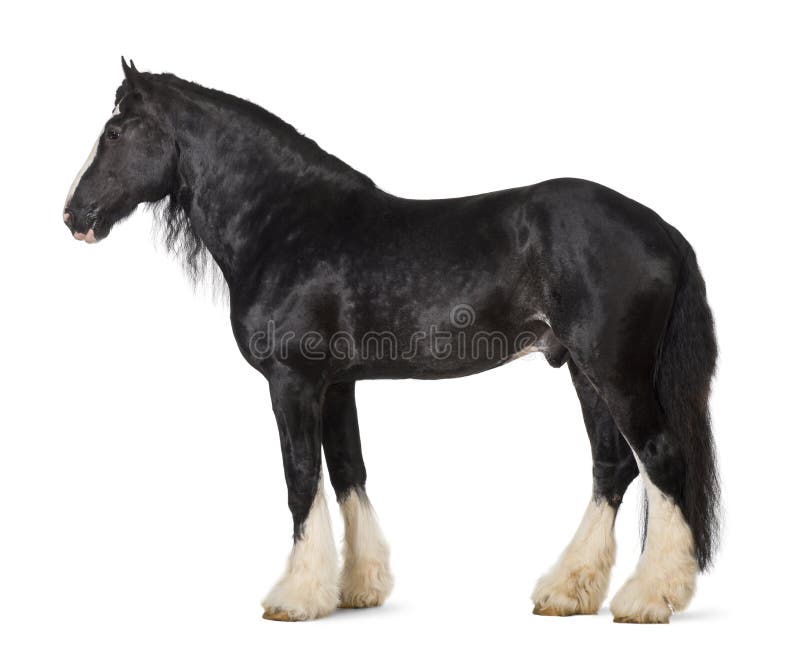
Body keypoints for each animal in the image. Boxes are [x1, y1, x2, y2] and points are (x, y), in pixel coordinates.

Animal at [63, 58, 719, 623]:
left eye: (116, 131)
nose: (74, 216)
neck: (287, 224)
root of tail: (662, 229)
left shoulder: (292, 382)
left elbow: (301, 476)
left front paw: (295, 597)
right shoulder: (336, 385)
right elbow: (348, 470)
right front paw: (357, 588)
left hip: (617, 372)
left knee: (659, 458)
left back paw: (648, 598)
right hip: (584, 373)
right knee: (613, 467)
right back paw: (567, 591)